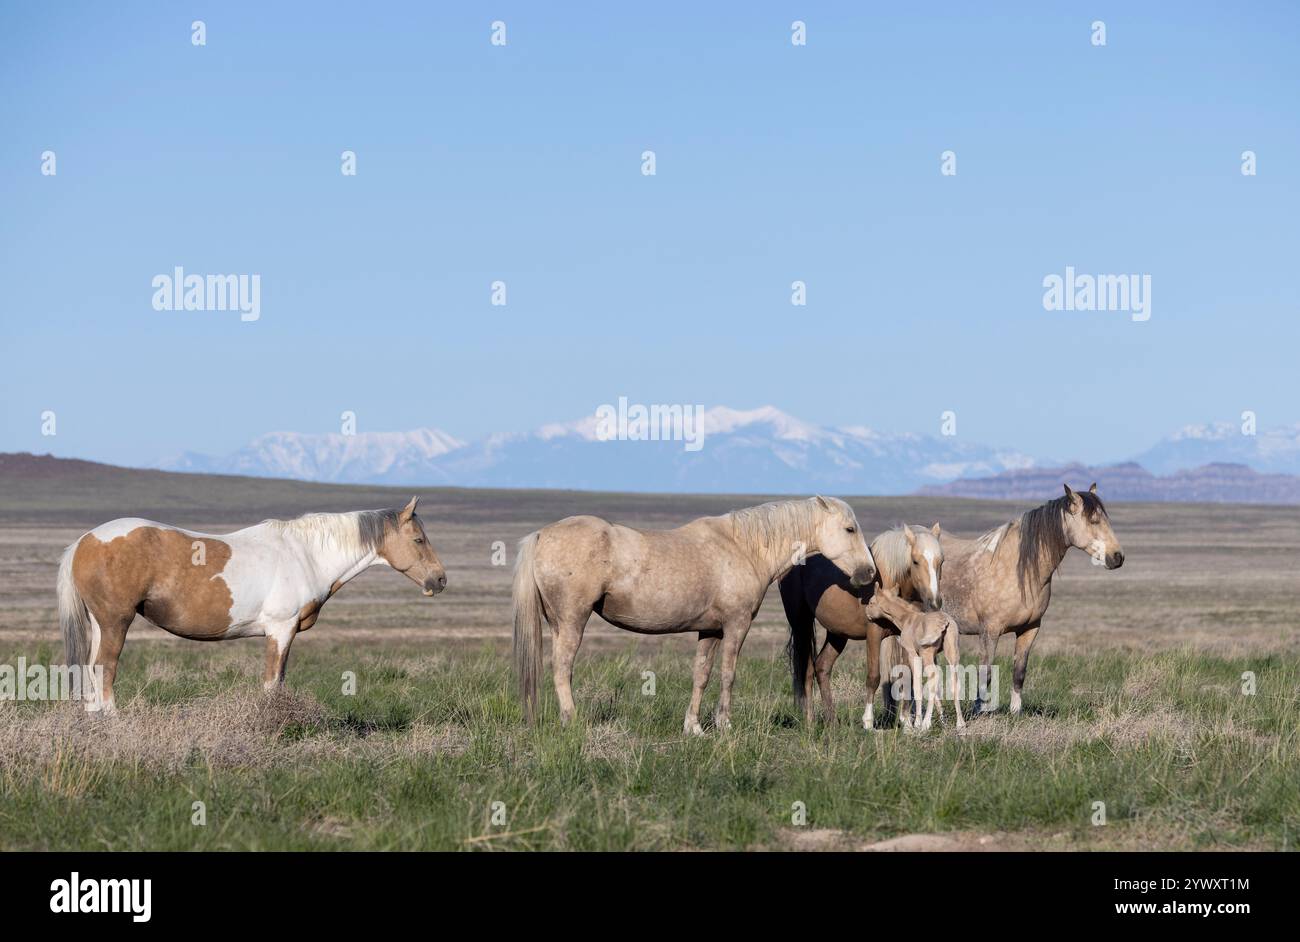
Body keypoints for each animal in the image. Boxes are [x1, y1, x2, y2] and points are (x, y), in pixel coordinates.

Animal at [57, 496, 446, 713]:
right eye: (418, 539)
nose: (440, 580)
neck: (305, 554)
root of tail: (84, 540)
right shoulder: (280, 629)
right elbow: (272, 681)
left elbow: (280, 679)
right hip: (115, 622)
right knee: (104, 667)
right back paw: (112, 718)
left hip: (100, 623)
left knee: (90, 667)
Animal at [511, 496, 878, 732]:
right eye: (849, 529)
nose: (869, 573)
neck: (743, 547)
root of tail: (541, 534)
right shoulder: (736, 626)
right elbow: (728, 674)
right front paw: (725, 724)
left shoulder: (711, 631)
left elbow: (701, 674)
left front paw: (694, 727)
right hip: (572, 621)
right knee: (562, 670)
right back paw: (571, 721)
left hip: (558, 624)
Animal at [780, 522, 943, 728]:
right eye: (915, 561)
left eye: (941, 561)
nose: (935, 602)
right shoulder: (873, 633)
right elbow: (873, 677)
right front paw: (868, 722)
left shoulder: (905, 637)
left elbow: (907, 676)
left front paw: (907, 724)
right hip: (802, 625)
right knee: (807, 671)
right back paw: (810, 722)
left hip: (837, 634)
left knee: (822, 667)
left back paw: (832, 722)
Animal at [862, 584, 963, 732]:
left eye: (871, 602)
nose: (867, 615)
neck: (907, 618)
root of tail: (944, 622)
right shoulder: (934, 656)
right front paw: (943, 721)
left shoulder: (912, 653)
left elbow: (916, 686)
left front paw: (916, 723)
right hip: (952, 651)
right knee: (954, 682)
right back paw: (960, 724)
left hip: (927, 653)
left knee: (933, 675)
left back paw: (925, 724)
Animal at [882, 483, 1124, 720]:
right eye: (1093, 520)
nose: (1117, 557)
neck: (1018, 570)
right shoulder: (989, 631)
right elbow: (985, 673)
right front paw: (979, 712)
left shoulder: (1030, 629)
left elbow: (1019, 672)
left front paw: (1015, 713)